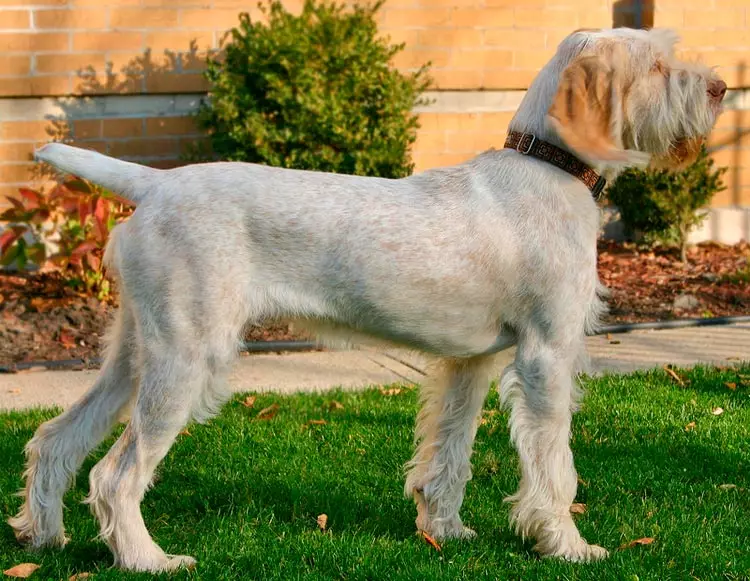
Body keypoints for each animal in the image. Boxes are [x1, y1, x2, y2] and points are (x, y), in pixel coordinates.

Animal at [8, 28, 728, 572]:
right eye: (657, 64)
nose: (721, 88)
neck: (547, 165)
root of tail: (153, 185)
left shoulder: (469, 363)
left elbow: (450, 453)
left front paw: (446, 531)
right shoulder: (546, 355)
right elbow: (556, 466)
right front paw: (567, 545)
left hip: (136, 353)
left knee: (55, 439)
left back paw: (43, 536)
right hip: (185, 360)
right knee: (115, 476)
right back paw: (147, 559)